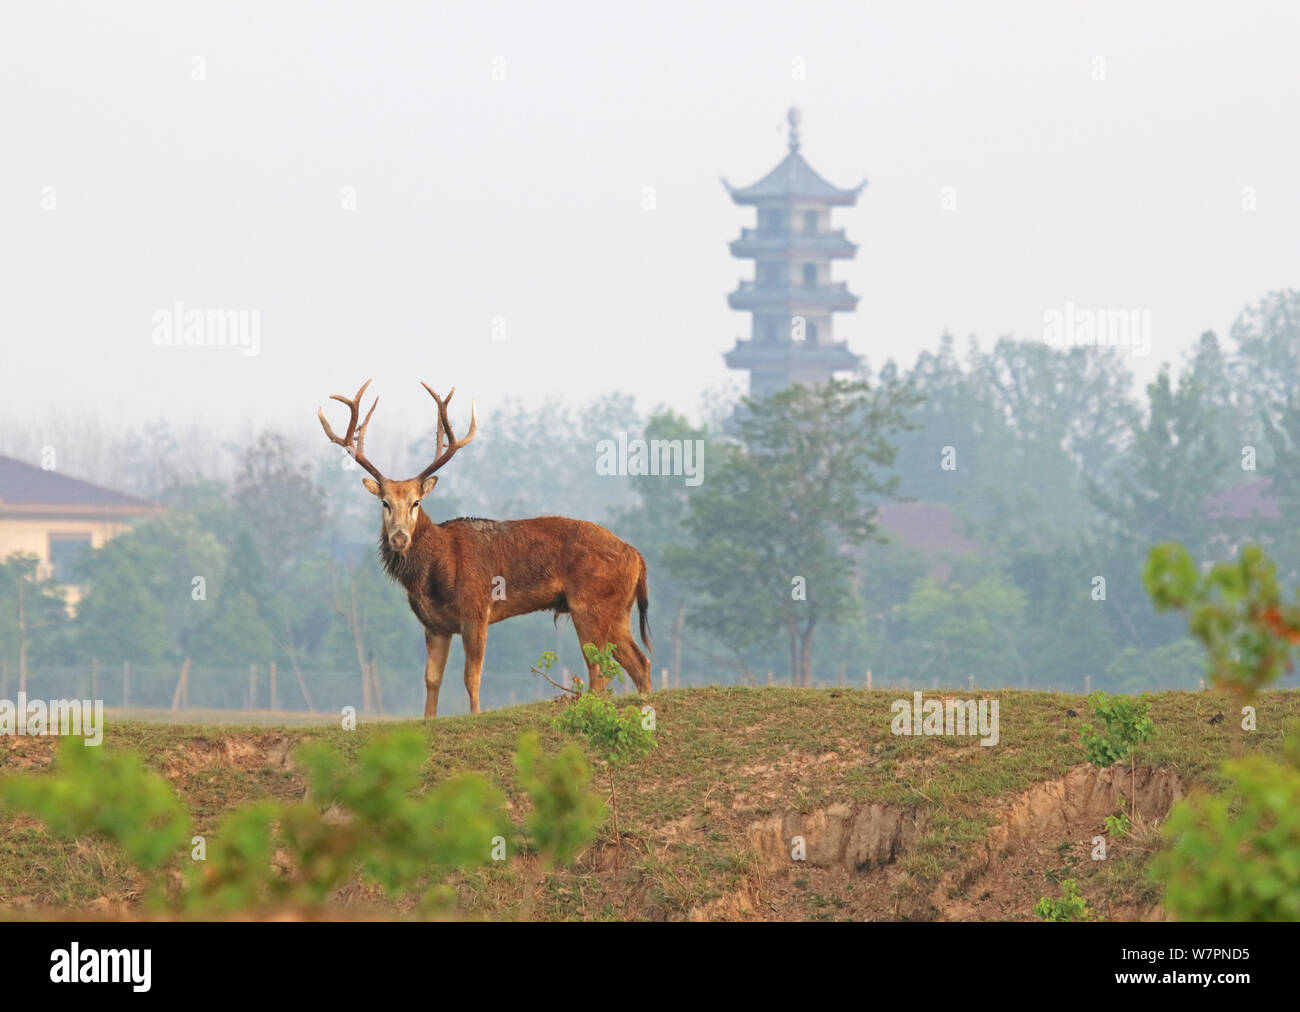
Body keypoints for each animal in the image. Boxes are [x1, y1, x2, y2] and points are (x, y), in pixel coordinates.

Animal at [318, 379, 652, 717]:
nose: (399, 538)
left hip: (588, 602)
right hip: (618, 608)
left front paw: (476, 715)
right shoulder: (434, 625)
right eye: (385, 503)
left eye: (416, 502)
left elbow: (472, 677)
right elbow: (431, 680)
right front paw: (428, 719)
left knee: (600, 669)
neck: (436, 570)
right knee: (640, 662)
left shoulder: (476, 610)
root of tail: (637, 556)